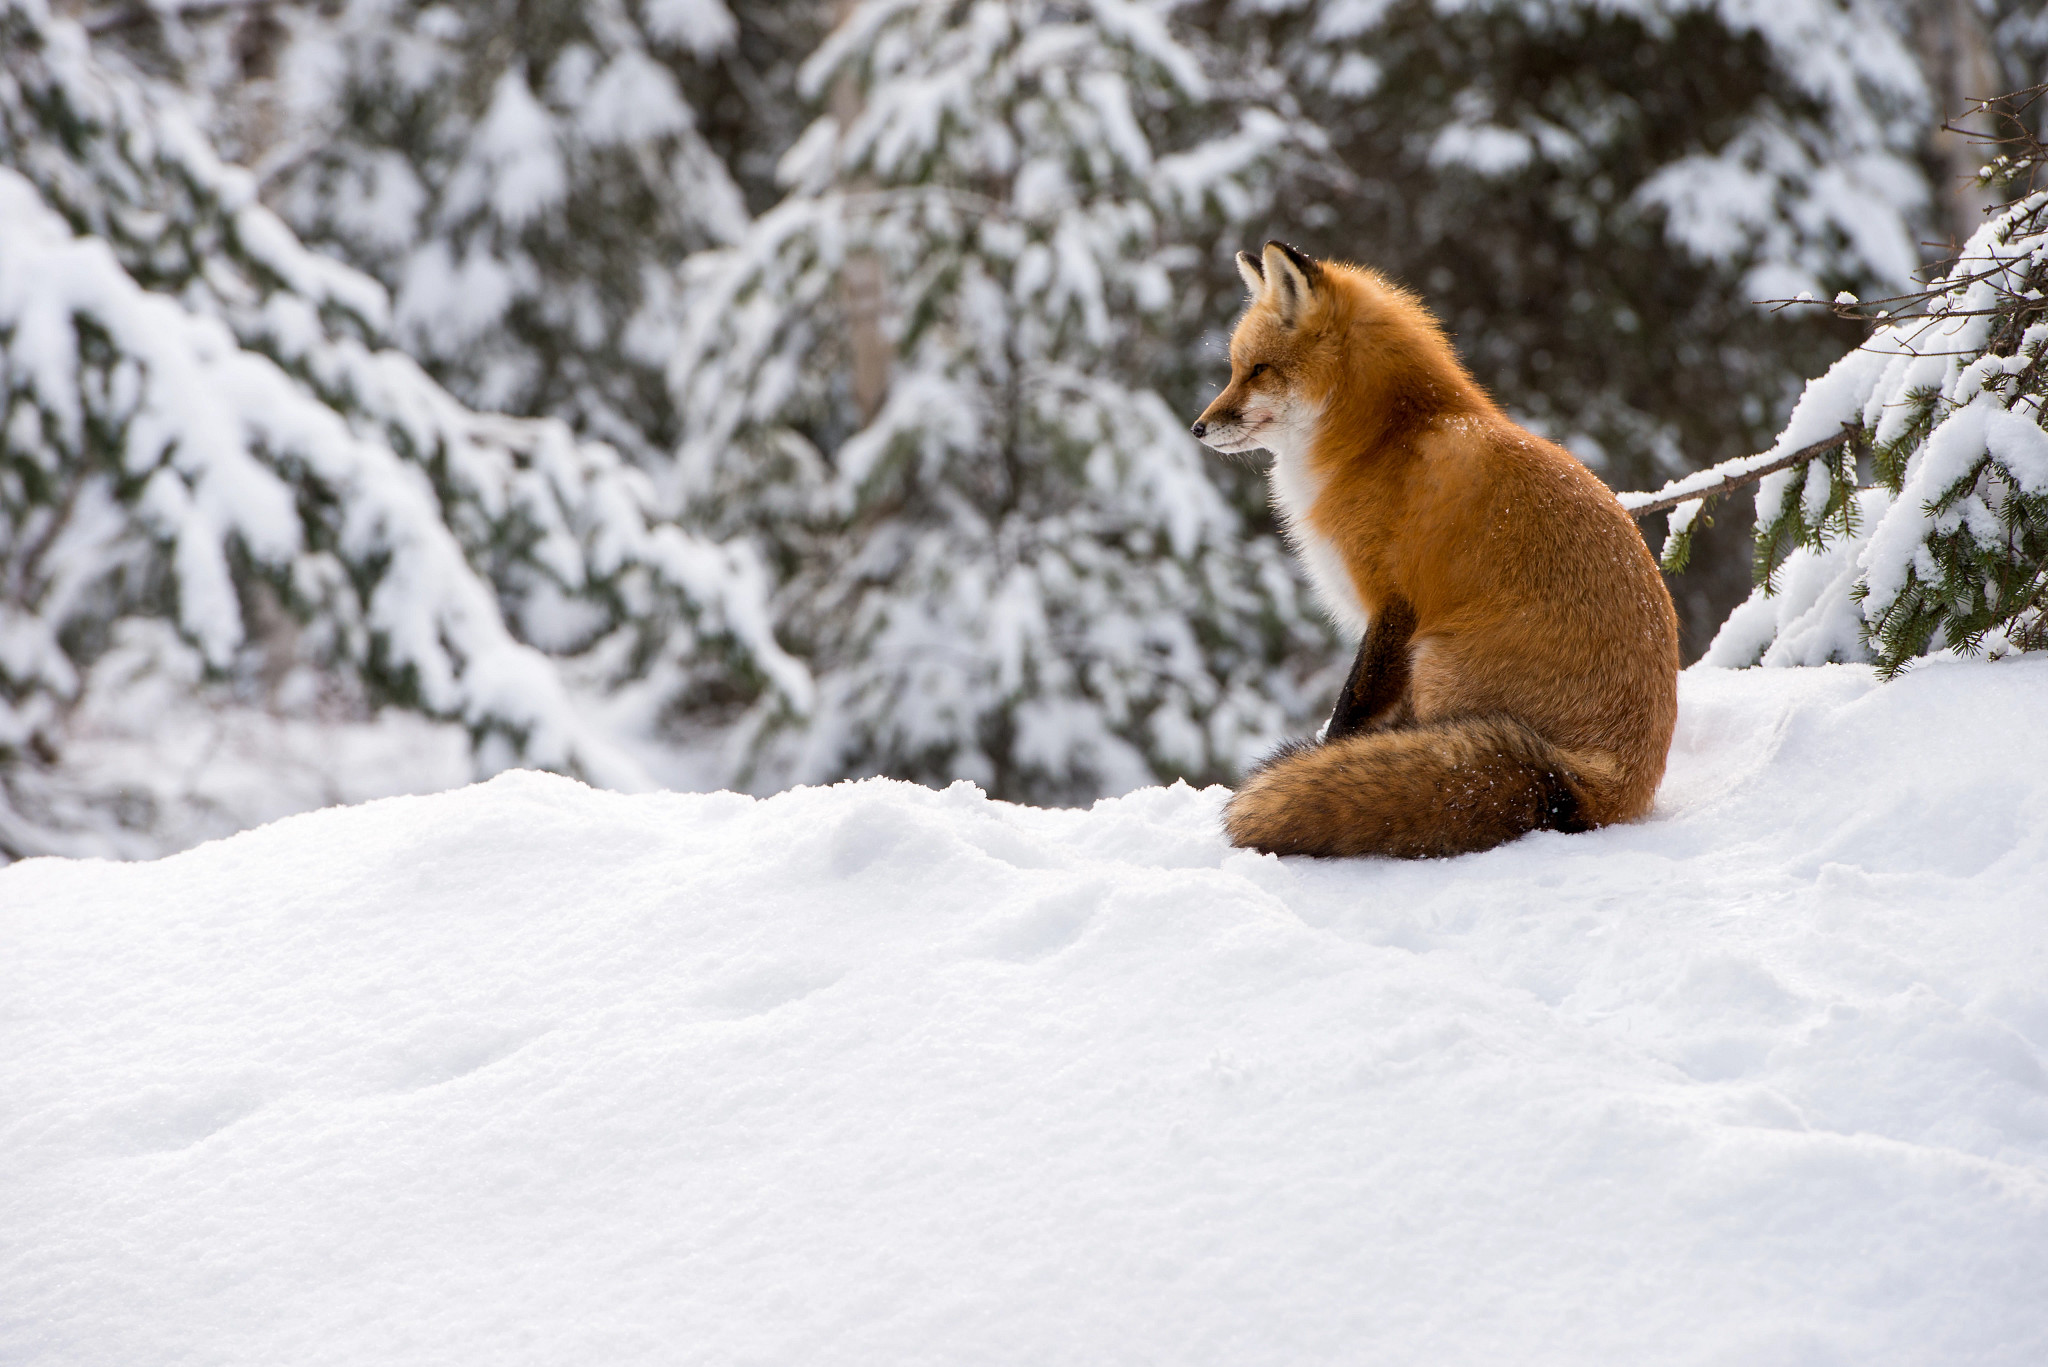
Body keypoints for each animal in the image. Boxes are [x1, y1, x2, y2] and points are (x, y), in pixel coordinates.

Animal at [1193, 241, 1679, 859]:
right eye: (1234, 369)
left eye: (1257, 370)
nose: (1197, 428)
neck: (1382, 441)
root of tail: (1603, 785)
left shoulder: (1393, 605)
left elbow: (1350, 711)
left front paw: (1325, 759)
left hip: (1434, 660)